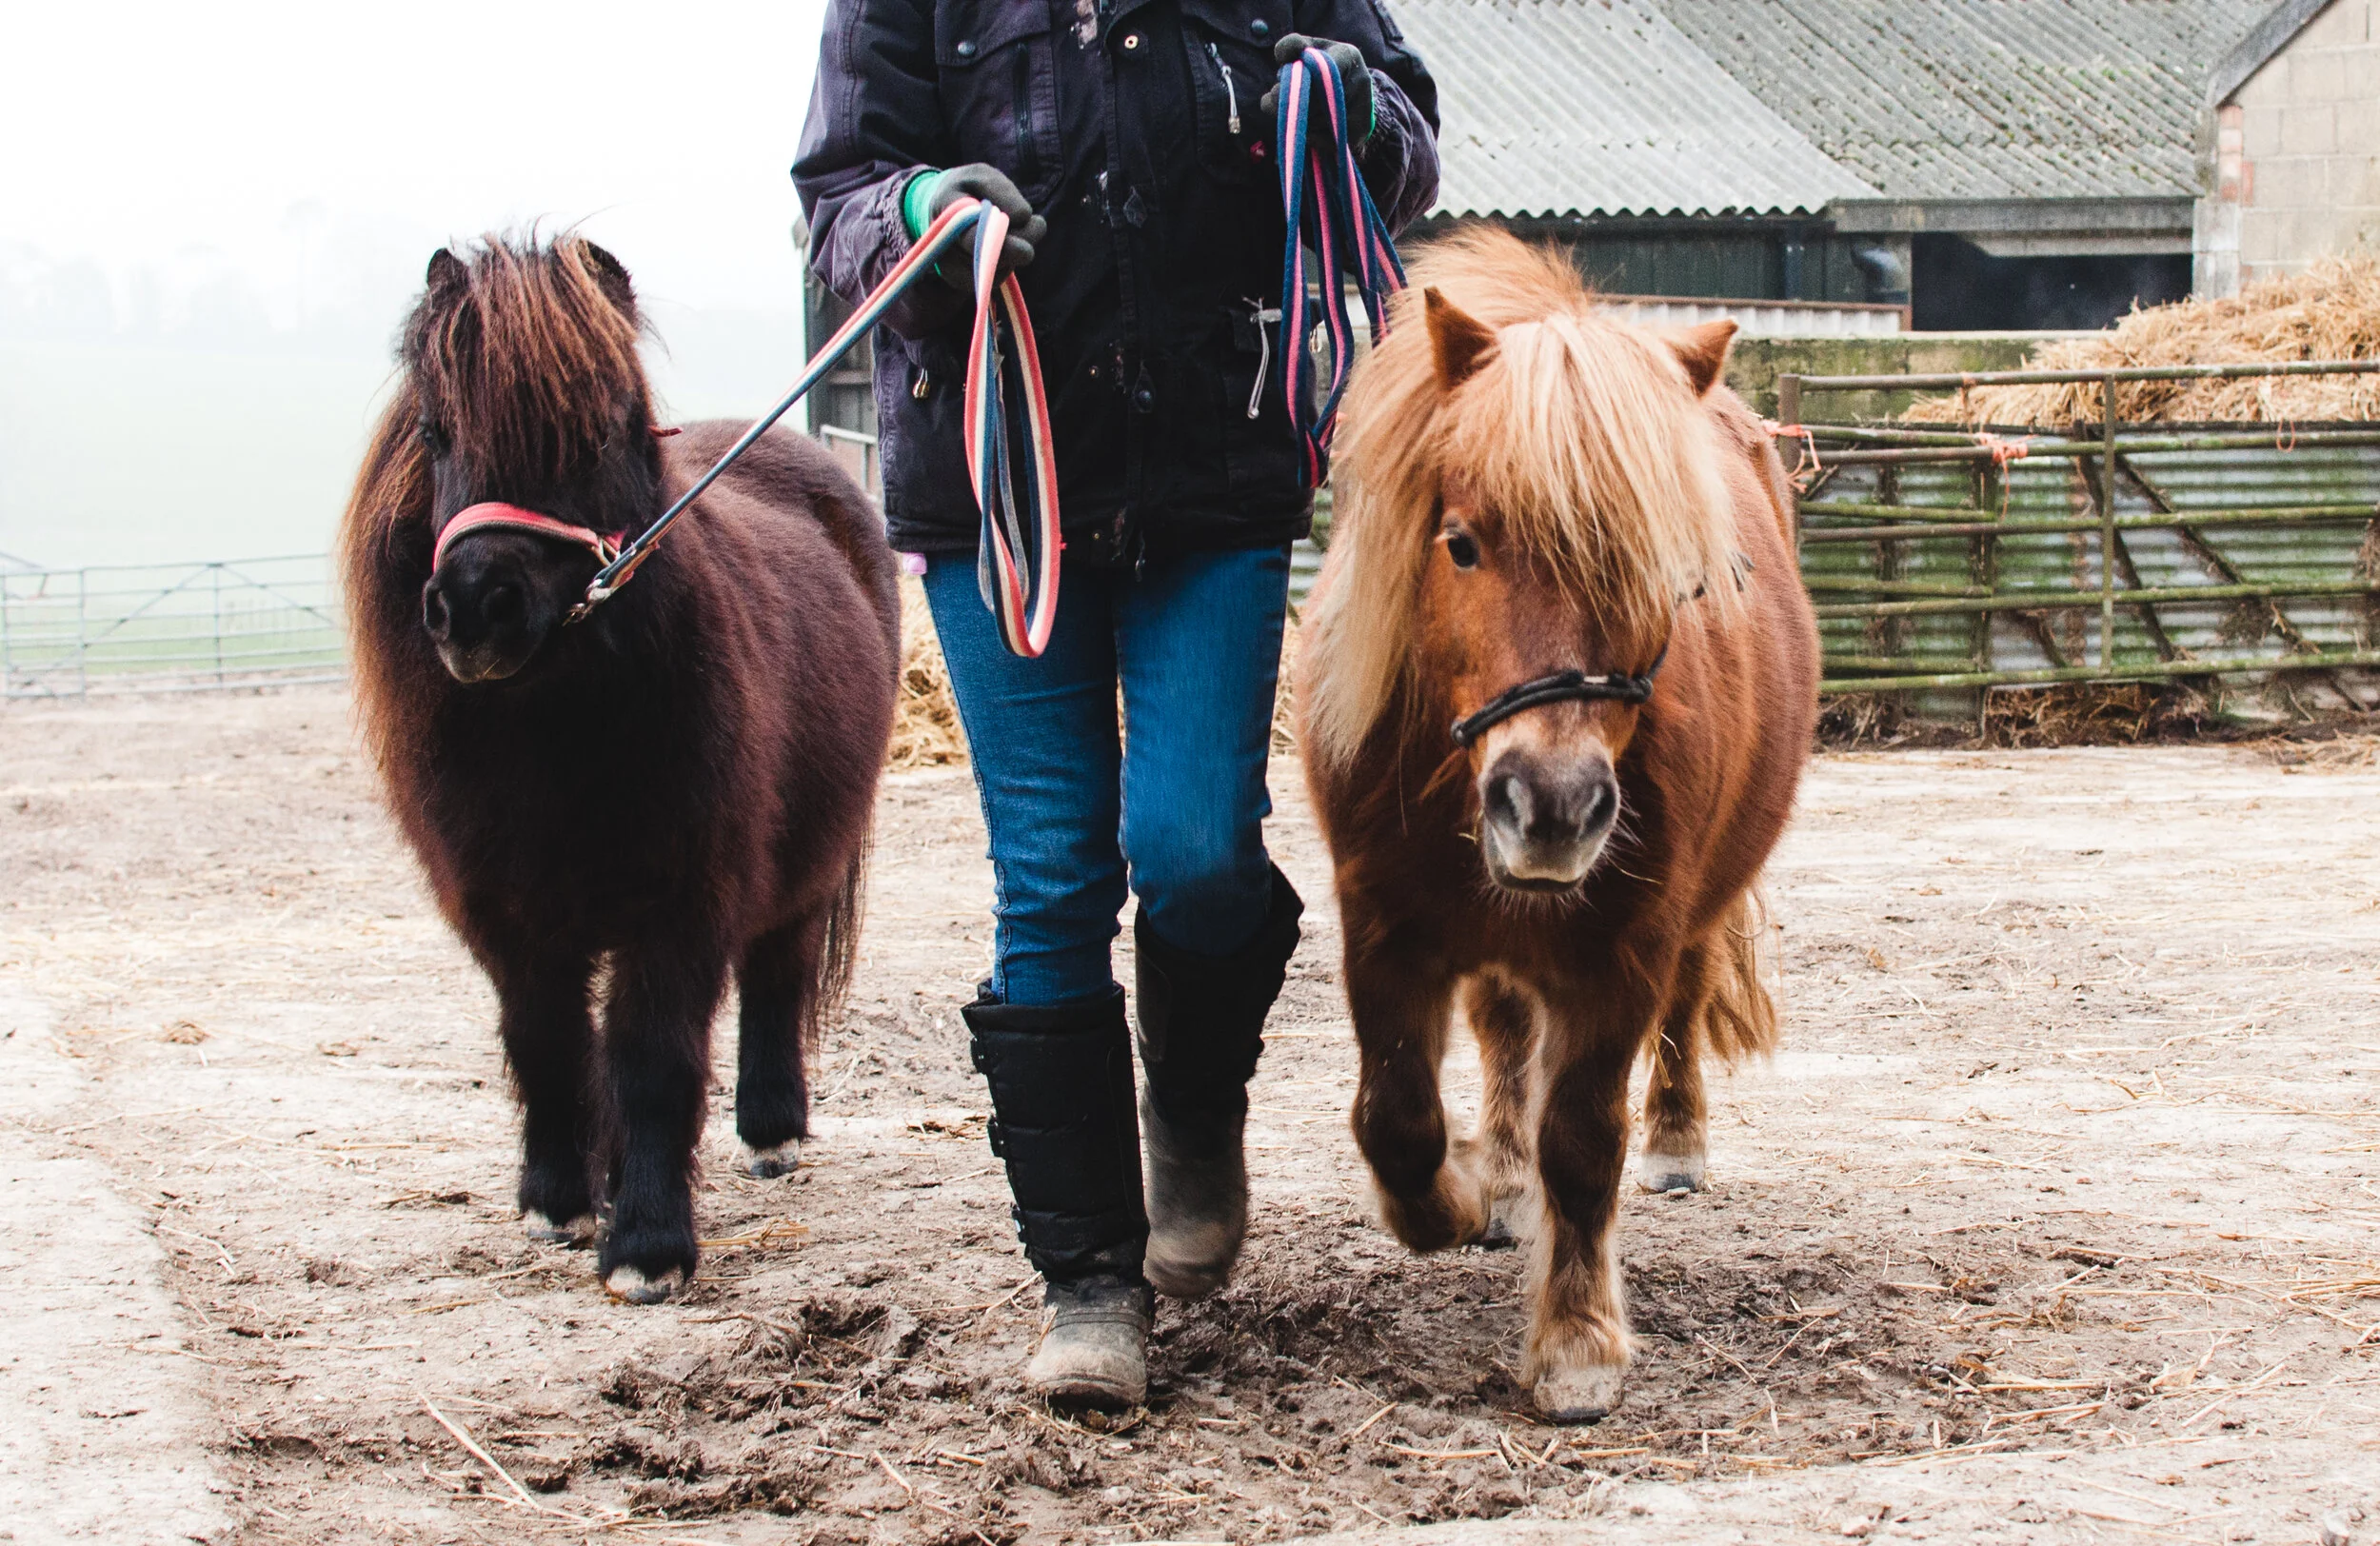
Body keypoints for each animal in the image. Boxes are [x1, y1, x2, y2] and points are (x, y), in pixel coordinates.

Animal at [340, 235, 899, 1304]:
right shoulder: (508, 918)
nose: (477, 609)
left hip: (807, 863)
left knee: (776, 972)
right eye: (434, 431)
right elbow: (545, 1045)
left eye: (598, 429)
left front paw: (646, 1244)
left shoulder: (678, 905)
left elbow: (651, 1059)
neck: (551, 732)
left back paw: (771, 1134)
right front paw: (557, 1201)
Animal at [1296, 227, 1820, 1422]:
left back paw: (1675, 1139)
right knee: (1499, 1037)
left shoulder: (1622, 946)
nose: (1551, 807)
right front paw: (1448, 1202)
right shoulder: (1378, 923)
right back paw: (1494, 1179)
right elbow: (1396, 1113)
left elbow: (1582, 1140)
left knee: (1679, 1012)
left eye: (1669, 572)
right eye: (1459, 542)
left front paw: (1577, 1342)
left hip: (1688, 915)